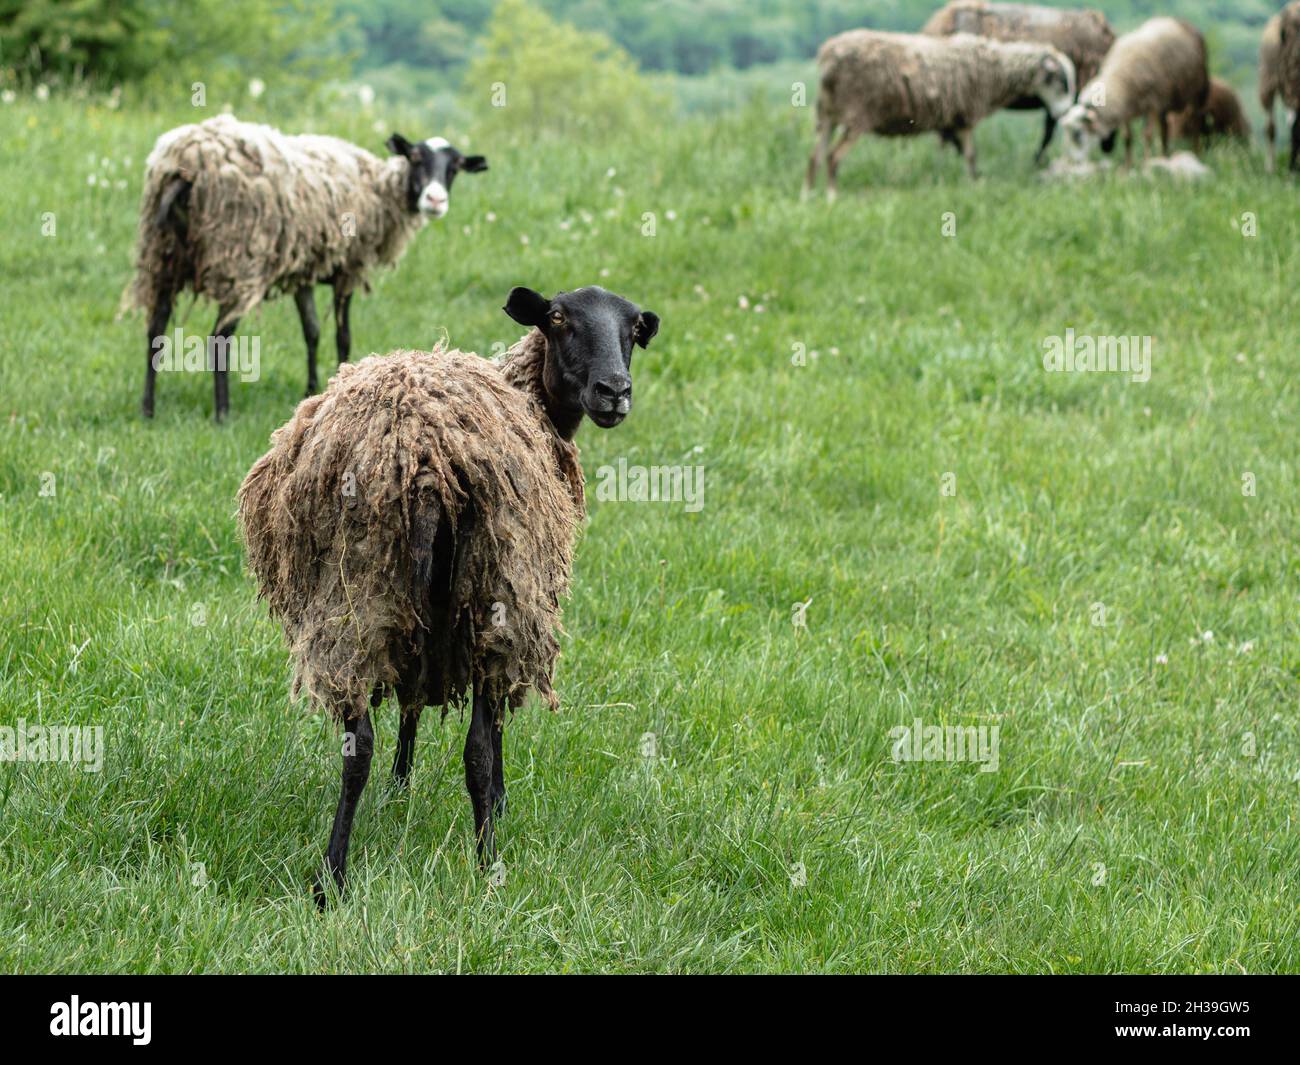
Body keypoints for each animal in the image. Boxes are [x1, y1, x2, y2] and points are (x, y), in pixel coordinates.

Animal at [123, 115, 487, 421]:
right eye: (415, 157)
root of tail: (186, 164)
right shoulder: (349, 269)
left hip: (163, 257)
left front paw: (312, 390)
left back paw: (147, 409)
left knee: (155, 328)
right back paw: (222, 413)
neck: (381, 191)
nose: (436, 200)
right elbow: (343, 337)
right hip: (237, 260)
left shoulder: (304, 275)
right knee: (219, 336)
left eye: (455, 167)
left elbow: (311, 331)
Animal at [236, 285, 660, 905]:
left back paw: (331, 878)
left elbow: (411, 703)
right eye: (558, 319)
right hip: (489, 591)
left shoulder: (423, 626)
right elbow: (492, 729)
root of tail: (425, 460)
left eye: (631, 330)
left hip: (360, 597)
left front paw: (400, 787)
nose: (614, 391)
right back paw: (486, 867)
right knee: (475, 749)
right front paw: (496, 803)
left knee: (358, 745)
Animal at [803, 30, 1076, 198]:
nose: (1064, 114)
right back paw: (832, 197)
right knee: (832, 156)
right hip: (856, 115)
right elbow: (971, 156)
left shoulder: (950, 121)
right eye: (1061, 82)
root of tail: (827, 56)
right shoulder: (965, 117)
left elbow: (948, 154)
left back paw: (808, 197)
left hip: (827, 114)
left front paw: (943, 179)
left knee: (814, 156)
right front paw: (974, 184)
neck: (996, 70)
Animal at [1059, 17, 1209, 168]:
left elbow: (1147, 135)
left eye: (1077, 134)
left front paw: (1146, 163)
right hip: (1165, 101)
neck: (1120, 81)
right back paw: (1164, 156)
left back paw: (1196, 153)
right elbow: (1127, 137)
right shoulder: (1126, 109)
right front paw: (1127, 165)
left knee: (1195, 122)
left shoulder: (1152, 103)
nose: (1076, 162)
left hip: (1197, 90)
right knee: (1164, 128)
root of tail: (1179, 20)